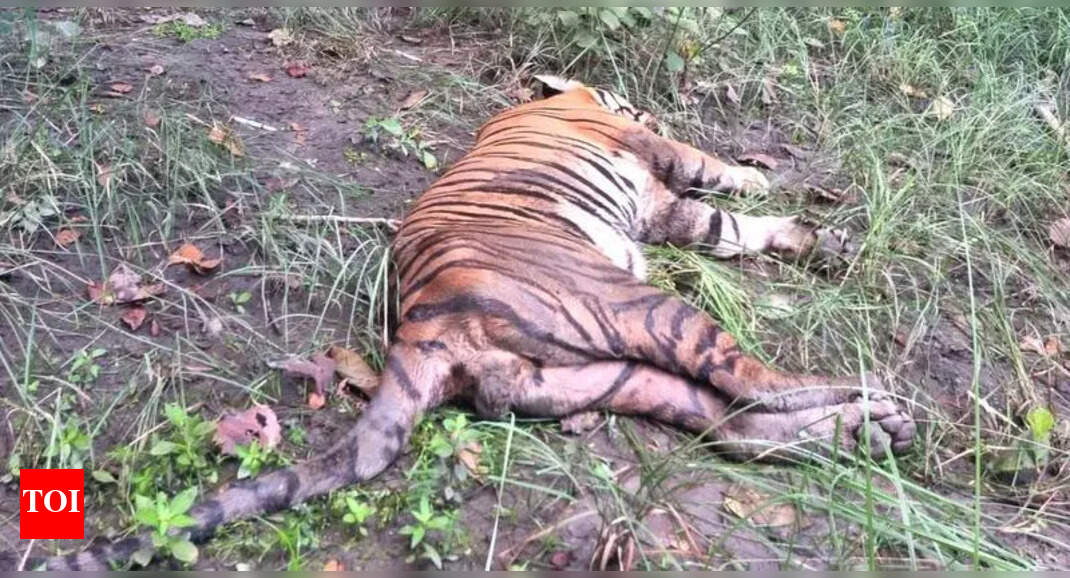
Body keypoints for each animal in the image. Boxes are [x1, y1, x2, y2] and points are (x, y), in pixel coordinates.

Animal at [12, 75, 915, 570]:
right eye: (621, 99)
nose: (632, 97)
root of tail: (420, 328)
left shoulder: (665, 211)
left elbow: (728, 226)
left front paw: (817, 240)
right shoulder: (655, 158)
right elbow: (718, 176)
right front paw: (774, 190)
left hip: (608, 375)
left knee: (732, 422)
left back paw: (873, 432)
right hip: (641, 308)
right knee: (753, 382)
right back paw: (874, 400)